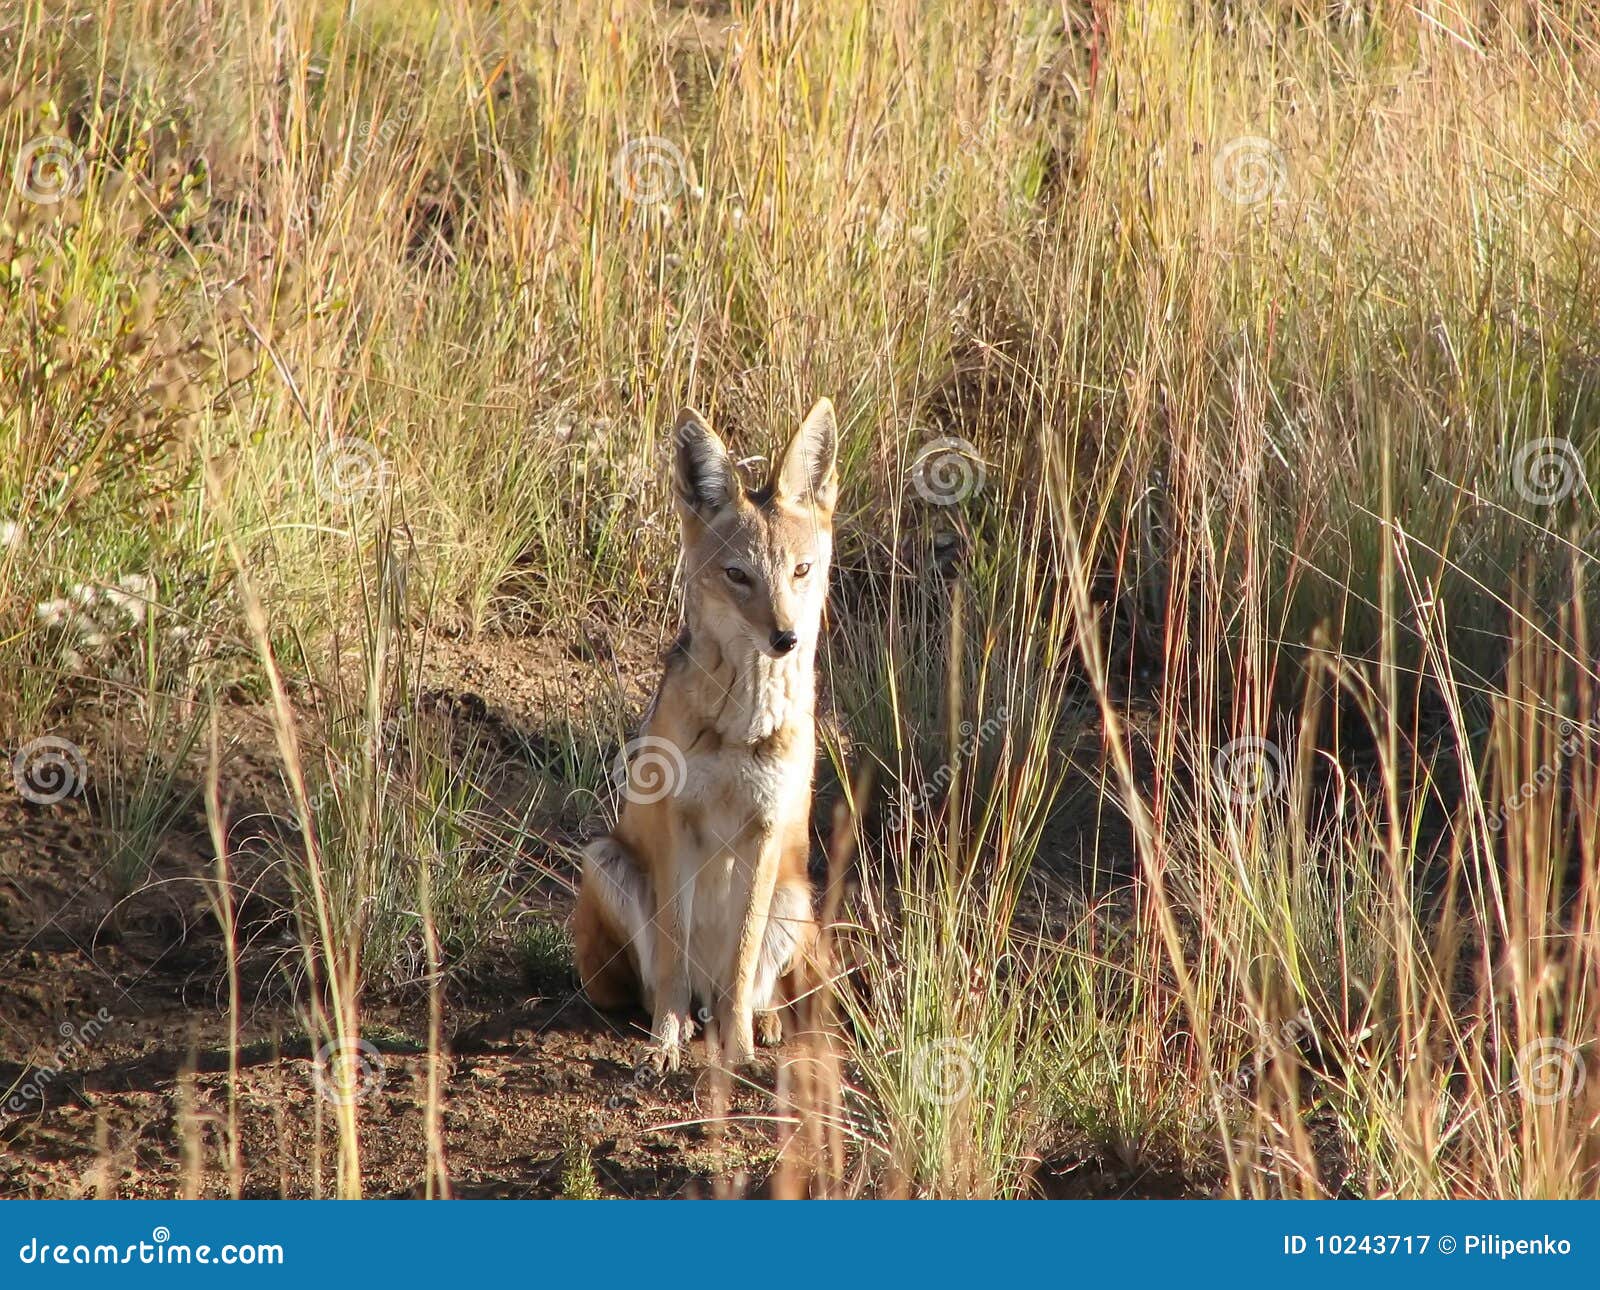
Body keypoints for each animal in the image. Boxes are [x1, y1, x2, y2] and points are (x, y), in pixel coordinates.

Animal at [572, 397, 839, 1070]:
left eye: (801, 571)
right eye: (738, 575)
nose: (785, 637)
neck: (741, 728)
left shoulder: (766, 829)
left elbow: (742, 965)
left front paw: (739, 1051)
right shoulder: (678, 826)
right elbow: (671, 955)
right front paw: (665, 1044)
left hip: (795, 898)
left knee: (743, 988)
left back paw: (755, 1025)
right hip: (606, 859)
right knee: (666, 984)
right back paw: (683, 1022)